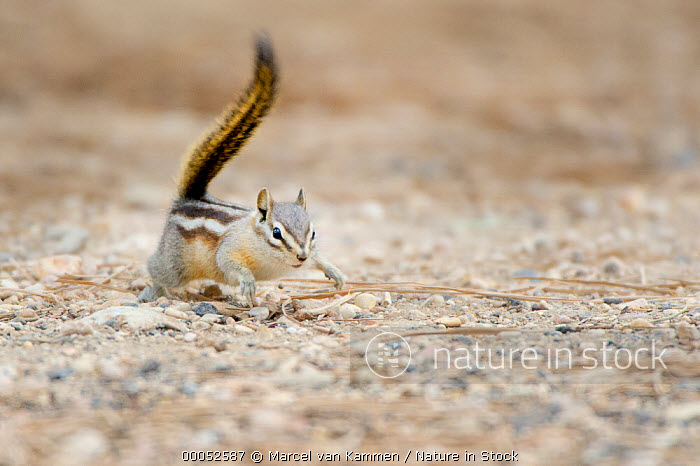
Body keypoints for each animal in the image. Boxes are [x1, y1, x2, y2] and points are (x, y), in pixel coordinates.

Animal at [139, 36, 345, 305]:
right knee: (154, 266)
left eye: (312, 232)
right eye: (276, 233)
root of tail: (189, 198)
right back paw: (157, 290)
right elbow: (228, 262)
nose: (301, 256)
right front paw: (247, 283)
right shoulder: (229, 248)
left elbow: (318, 258)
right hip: (174, 265)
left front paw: (333, 270)